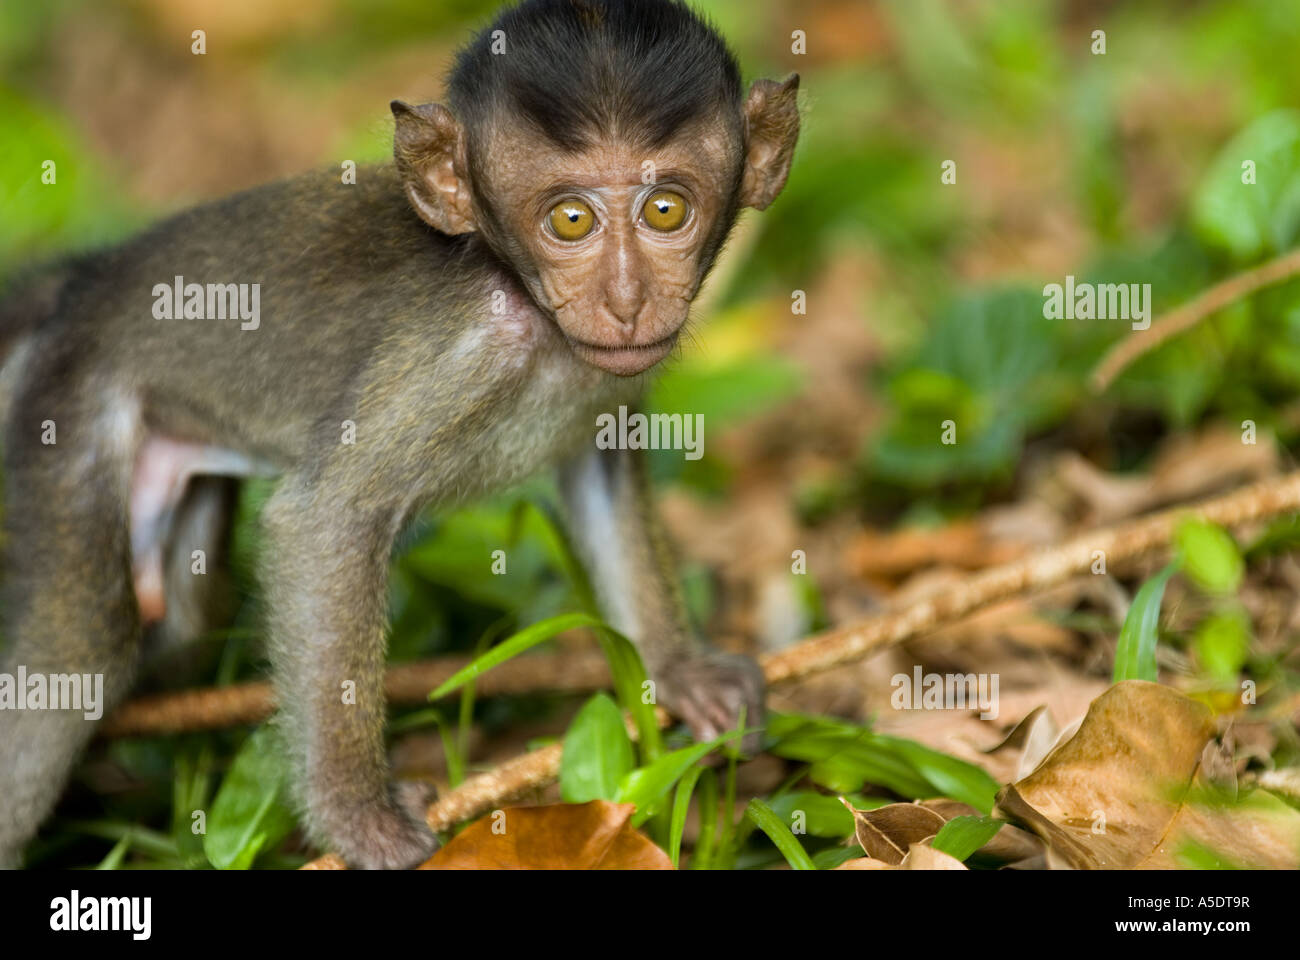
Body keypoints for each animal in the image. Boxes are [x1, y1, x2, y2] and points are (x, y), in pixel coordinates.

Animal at [0, 0, 799, 869]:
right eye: (570, 220)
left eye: (665, 210)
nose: (626, 302)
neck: (517, 294)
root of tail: (87, 282)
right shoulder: (455, 358)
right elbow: (321, 521)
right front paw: (358, 818)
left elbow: (602, 471)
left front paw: (681, 669)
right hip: (72, 402)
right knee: (76, 655)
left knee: (178, 624)